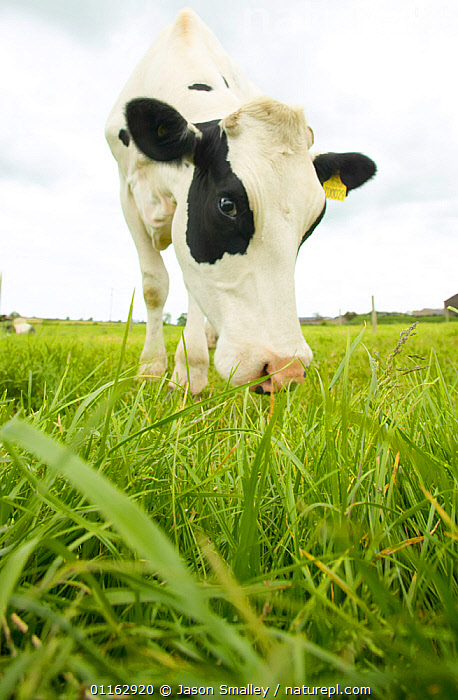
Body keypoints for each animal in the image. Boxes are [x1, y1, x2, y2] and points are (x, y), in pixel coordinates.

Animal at [105, 8, 376, 394]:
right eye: (227, 205)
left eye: (314, 221)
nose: (284, 369)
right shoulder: (127, 192)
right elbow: (154, 284)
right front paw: (151, 368)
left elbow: (192, 285)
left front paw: (189, 373)